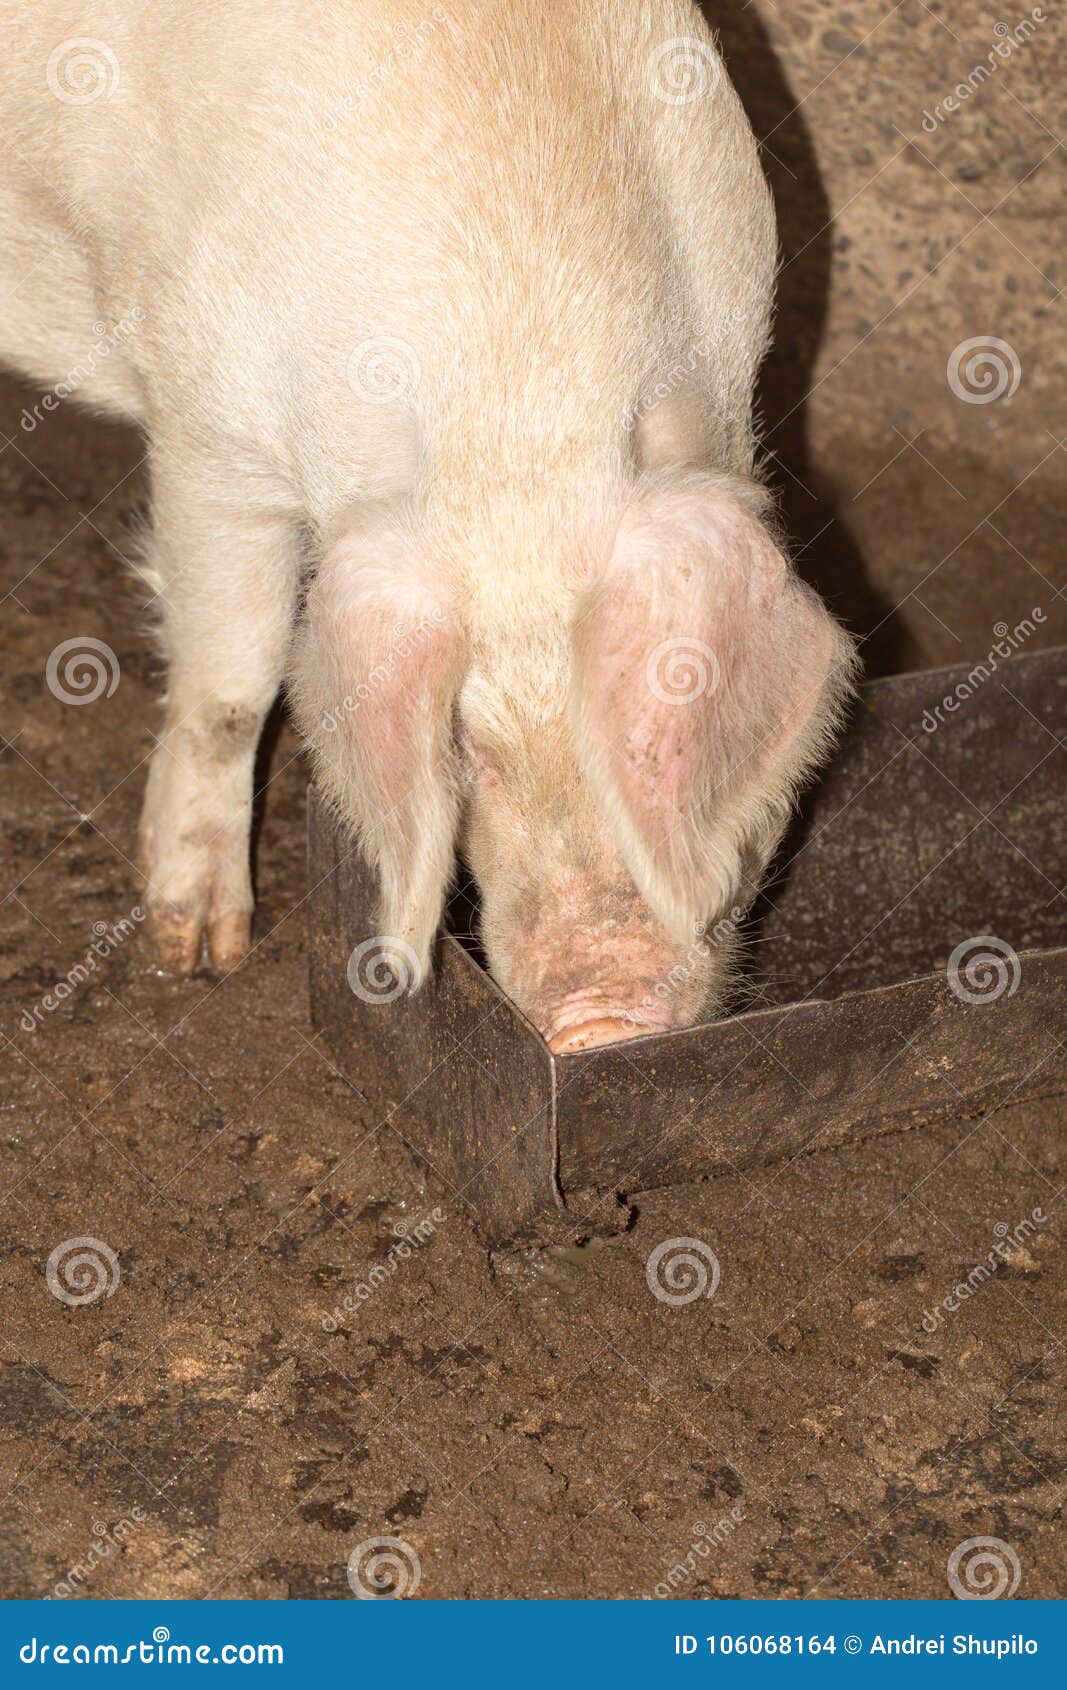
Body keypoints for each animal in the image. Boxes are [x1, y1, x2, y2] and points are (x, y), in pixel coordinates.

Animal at [0, 0, 857, 1052]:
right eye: (462, 748)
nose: (596, 1021)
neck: (523, 406)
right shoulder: (205, 422)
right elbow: (232, 685)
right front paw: (199, 949)